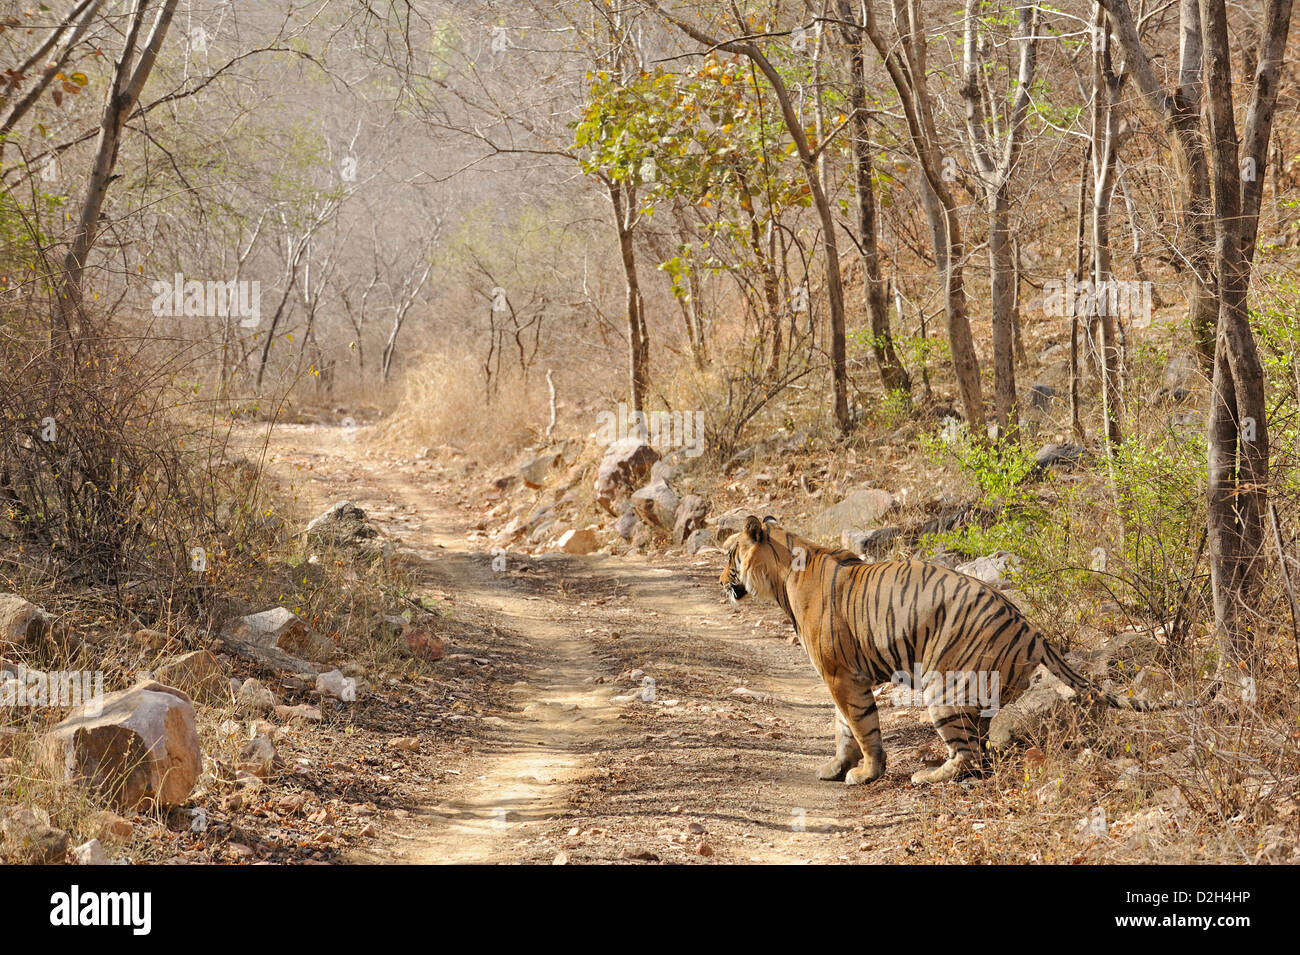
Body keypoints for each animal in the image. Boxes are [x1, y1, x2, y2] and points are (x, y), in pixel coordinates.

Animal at [720, 515, 1174, 785]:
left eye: (730, 555)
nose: (721, 579)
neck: (781, 576)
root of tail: (1031, 629)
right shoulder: (840, 675)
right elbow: (842, 727)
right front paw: (837, 767)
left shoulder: (842, 676)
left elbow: (862, 728)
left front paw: (866, 772)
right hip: (979, 694)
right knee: (983, 748)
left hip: (944, 687)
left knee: (971, 755)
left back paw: (929, 776)